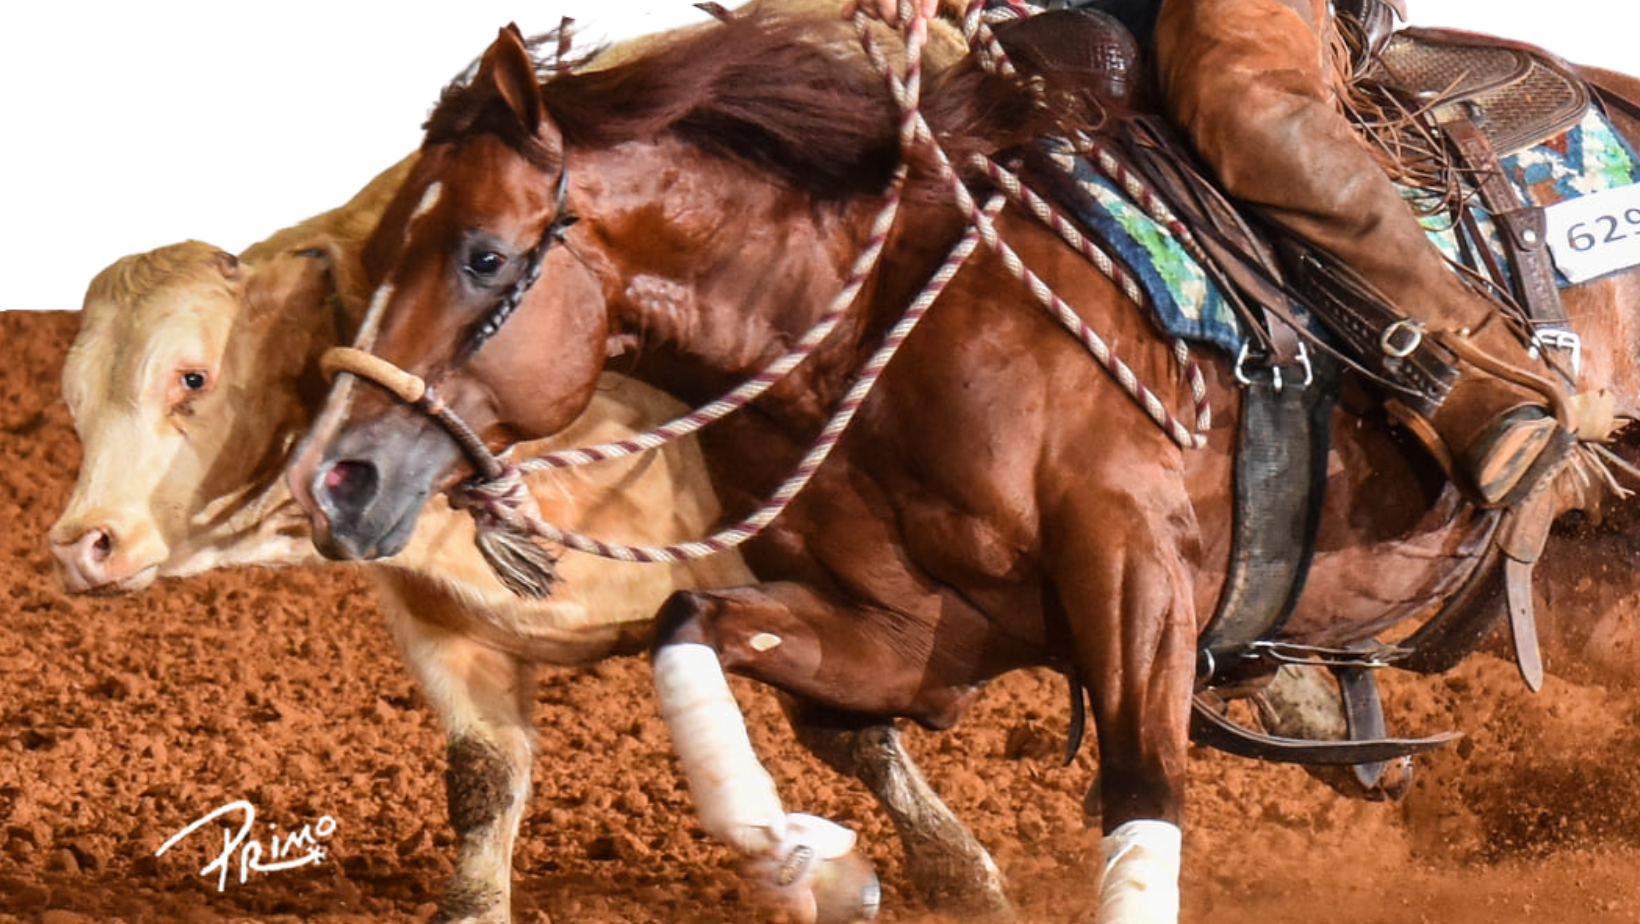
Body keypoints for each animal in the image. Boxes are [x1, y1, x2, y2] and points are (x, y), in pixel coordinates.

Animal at [47, 148, 1013, 920]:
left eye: (192, 377)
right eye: (72, 397)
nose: (80, 544)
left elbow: (854, 733)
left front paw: (957, 876)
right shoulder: (433, 613)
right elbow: (485, 773)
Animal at [282, 4, 1640, 922]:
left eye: (483, 255)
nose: (336, 478)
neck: (881, 317)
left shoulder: (1132, 579)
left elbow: (1140, 790)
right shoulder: (916, 630)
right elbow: (695, 629)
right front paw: (804, 855)